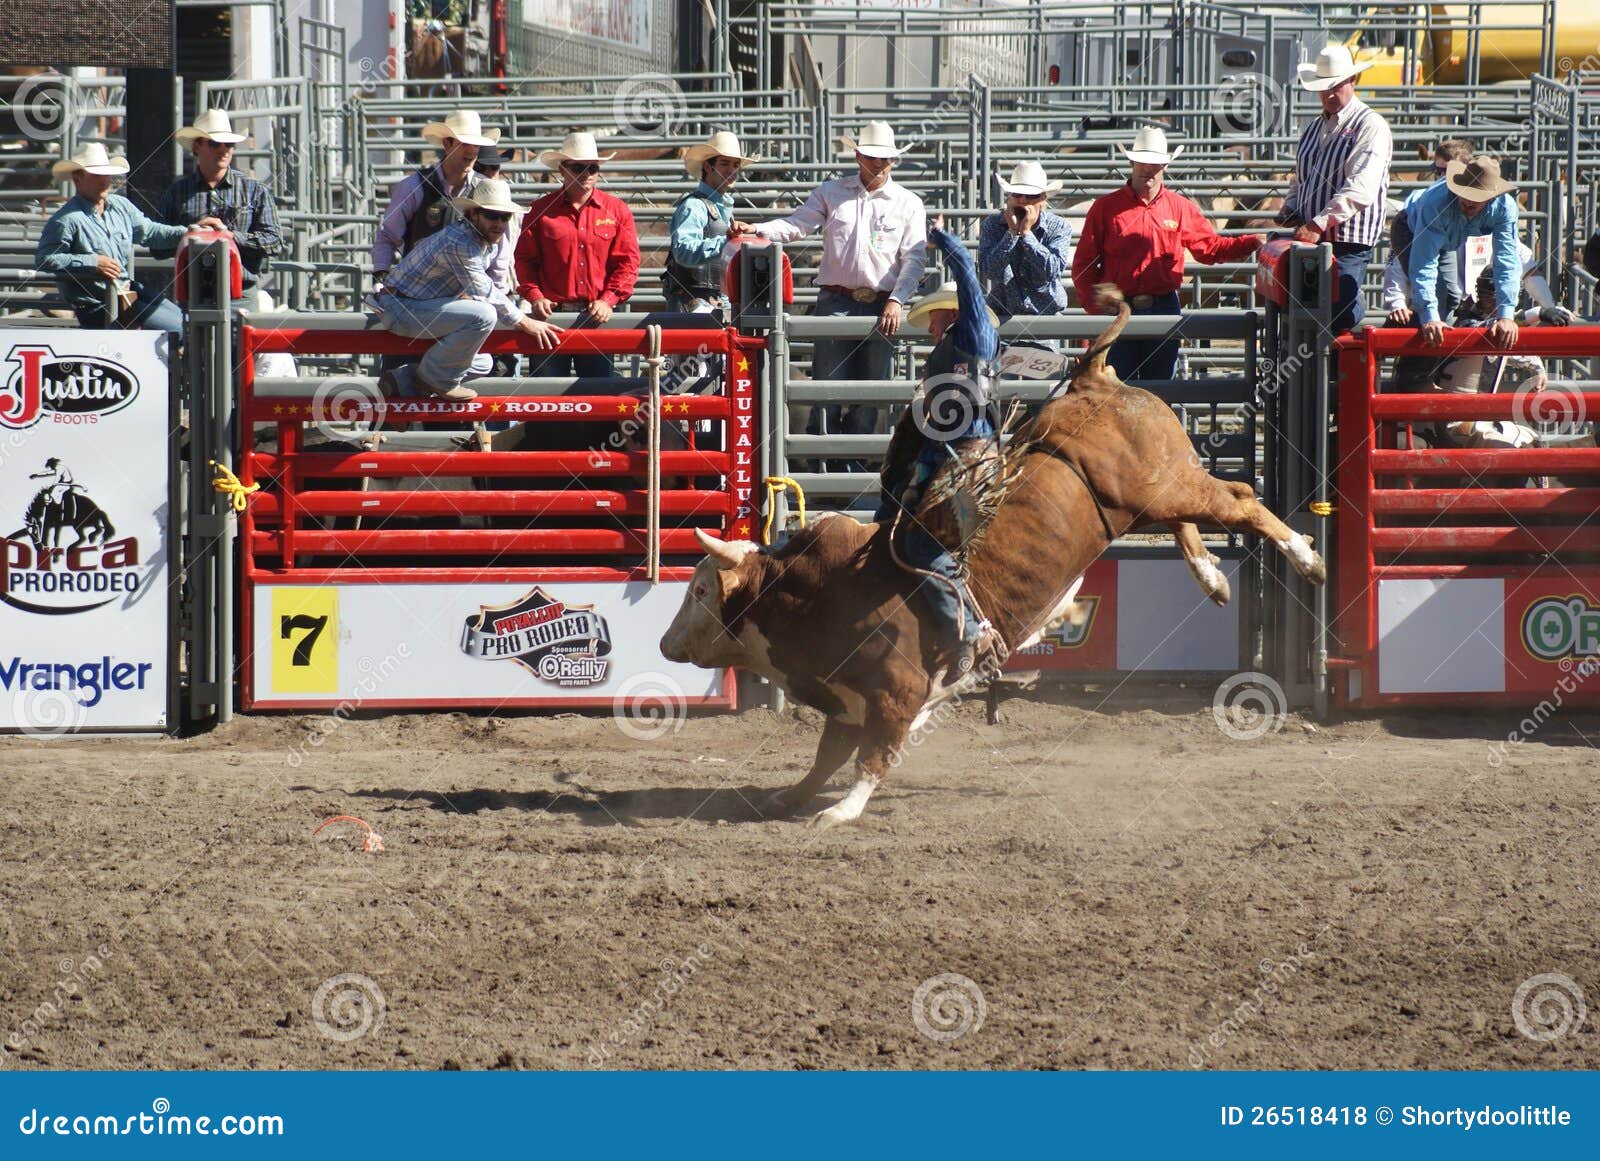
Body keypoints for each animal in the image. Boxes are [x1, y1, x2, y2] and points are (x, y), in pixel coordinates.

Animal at [660, 285, 1325, 828]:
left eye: (700, 590)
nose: (665, 644)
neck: (810, 591)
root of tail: (1089, 378)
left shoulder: (894, 695)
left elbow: (872, 756)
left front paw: (841, 812)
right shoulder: (846, 703)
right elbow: (826, 757)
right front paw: (792, 797)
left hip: (1166, 483)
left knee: (1240, 501)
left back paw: (1306, 558)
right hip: (1148, 500)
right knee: (1193, 519)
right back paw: (1213, 577)